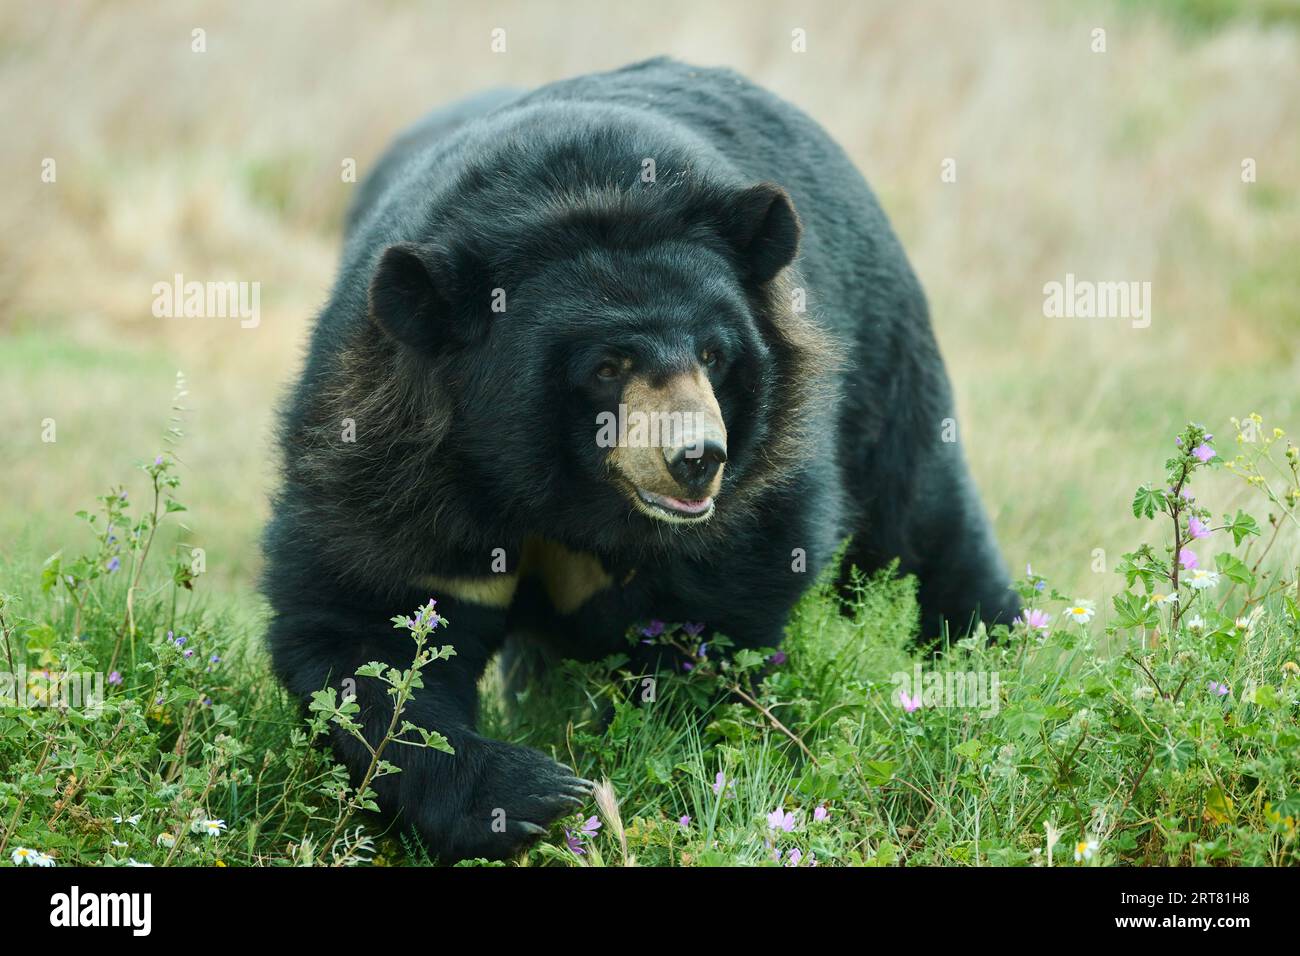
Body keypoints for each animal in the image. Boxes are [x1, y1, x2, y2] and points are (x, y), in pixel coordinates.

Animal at [263, 57, 1018, 862]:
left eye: (714, 354)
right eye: (606, 367)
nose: (697, 458)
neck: (559, 491)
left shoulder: (758, 485)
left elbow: (716, 618)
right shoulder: (397, 462)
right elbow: (369, 622)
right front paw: (534, 797)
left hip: (883, 371)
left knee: (922, 536)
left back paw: (998, 652)